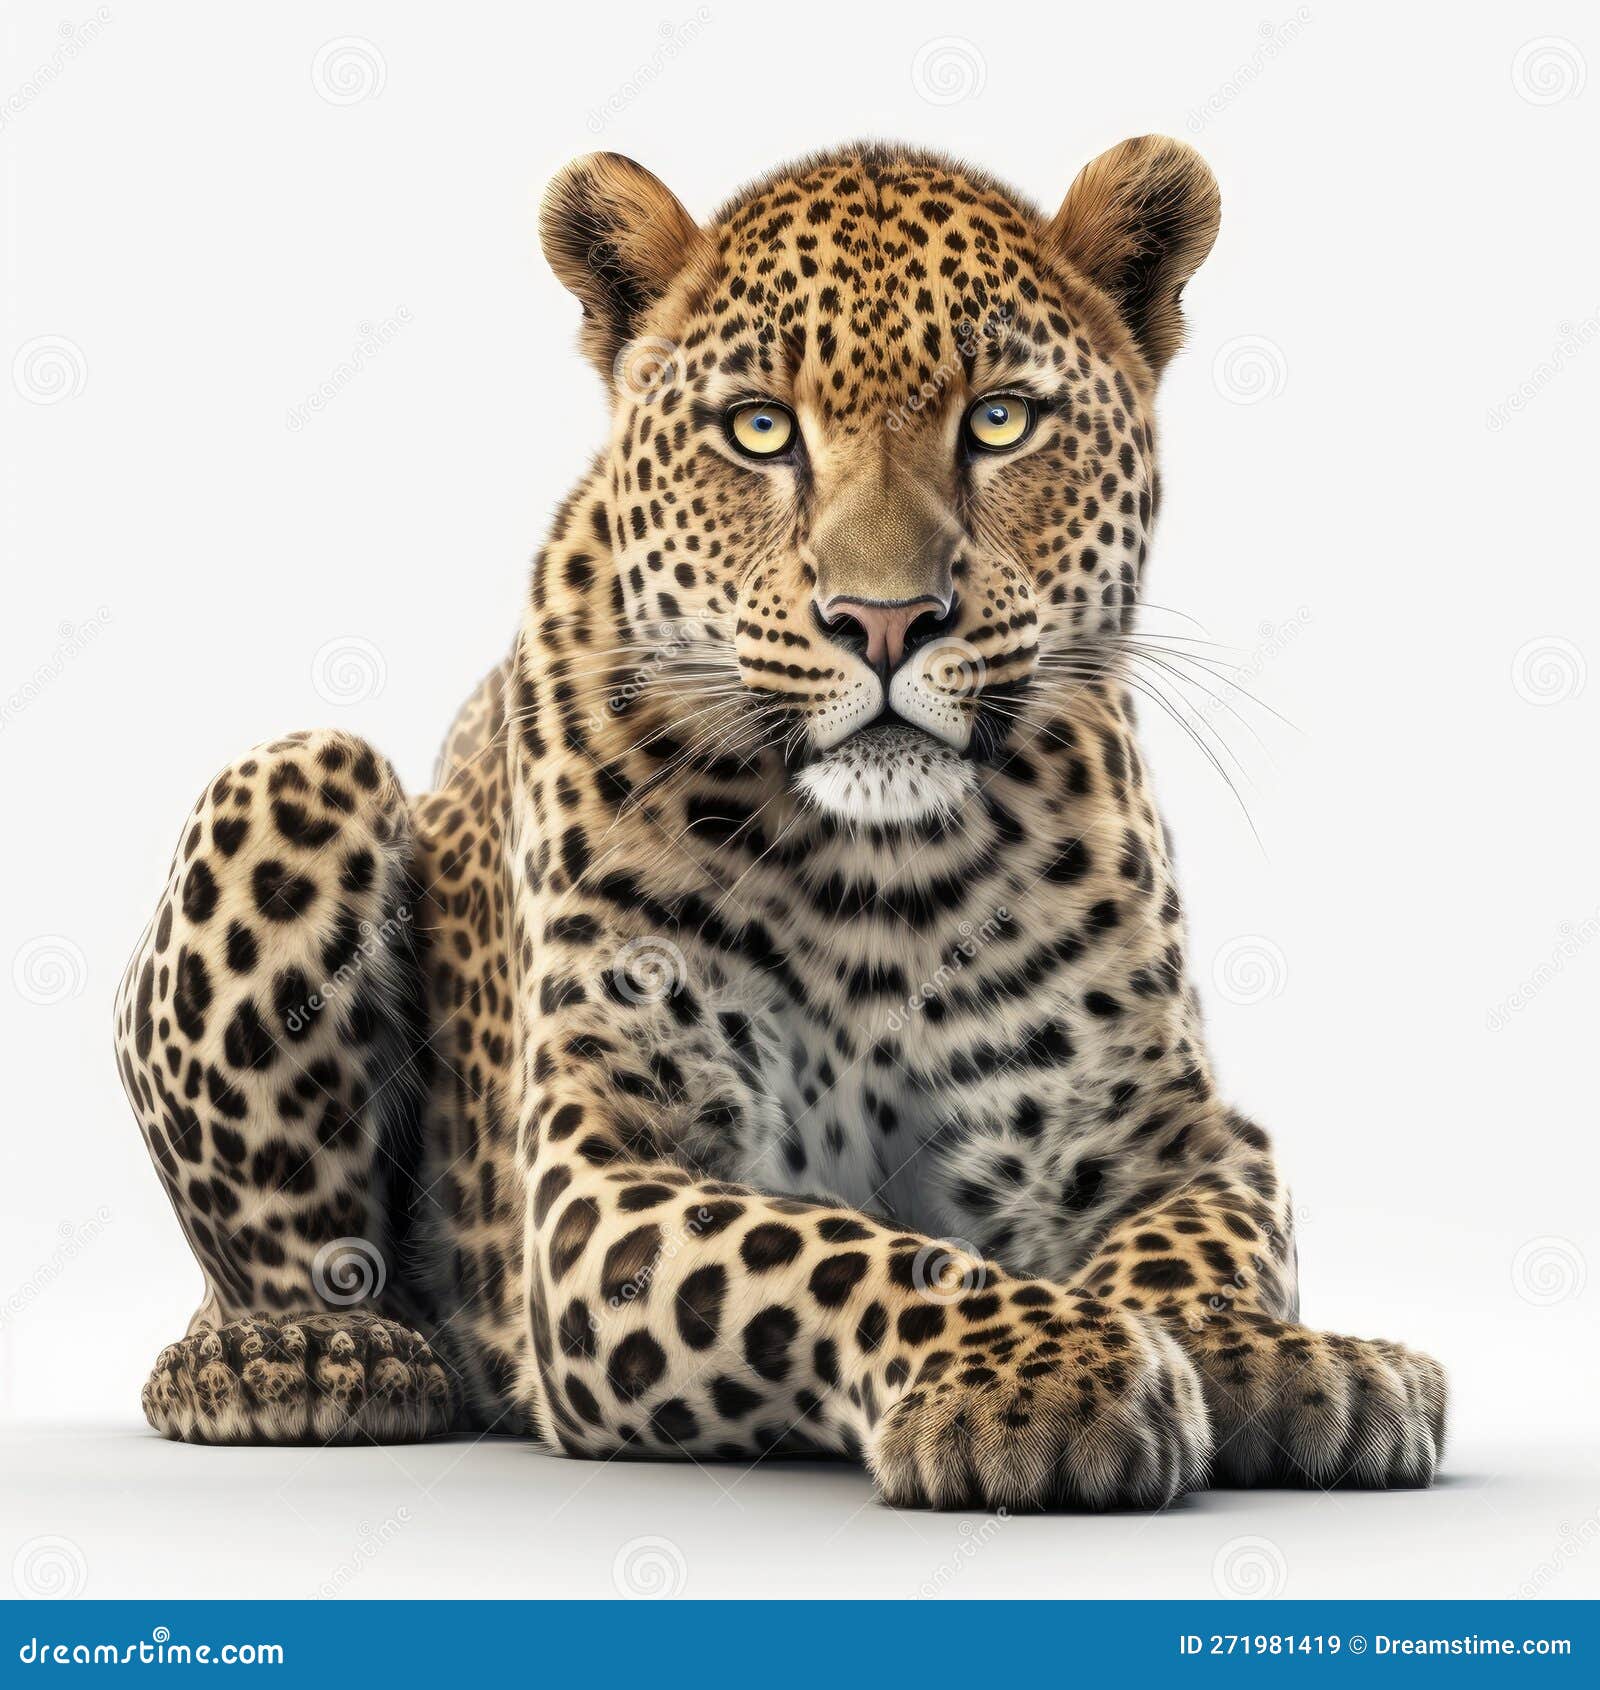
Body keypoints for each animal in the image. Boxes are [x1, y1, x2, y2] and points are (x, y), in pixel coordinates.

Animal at [114, 137, 1446, 1509]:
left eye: (999, 419)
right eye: (760, 429)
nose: (885, 620)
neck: (887, 871)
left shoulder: (1162, 1131)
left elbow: (1199, 1242)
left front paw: (1286, 1360)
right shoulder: (606, 1172)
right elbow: (832, 1252)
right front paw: (1046, 1371)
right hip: (294, 775)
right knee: (279, 1262)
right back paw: (300, 1358)